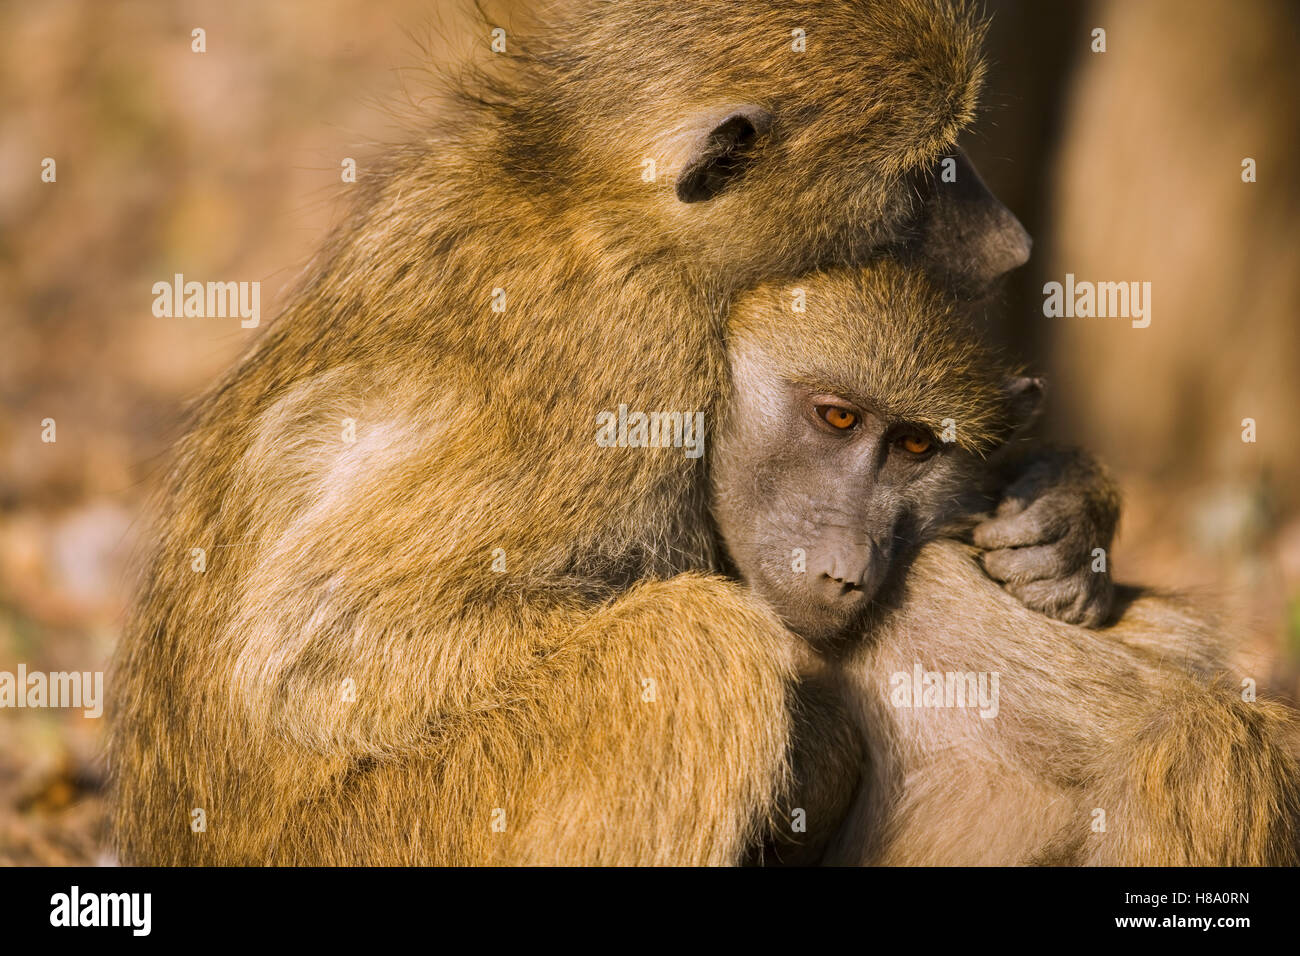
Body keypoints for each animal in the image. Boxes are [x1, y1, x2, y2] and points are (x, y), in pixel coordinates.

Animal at [110, 0, 1118, 865]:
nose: (1014, 245)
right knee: (694, 650)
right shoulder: (634, 359)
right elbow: (325, 661)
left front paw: (1066, 522)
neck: (615, 207)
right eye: (925, 172)